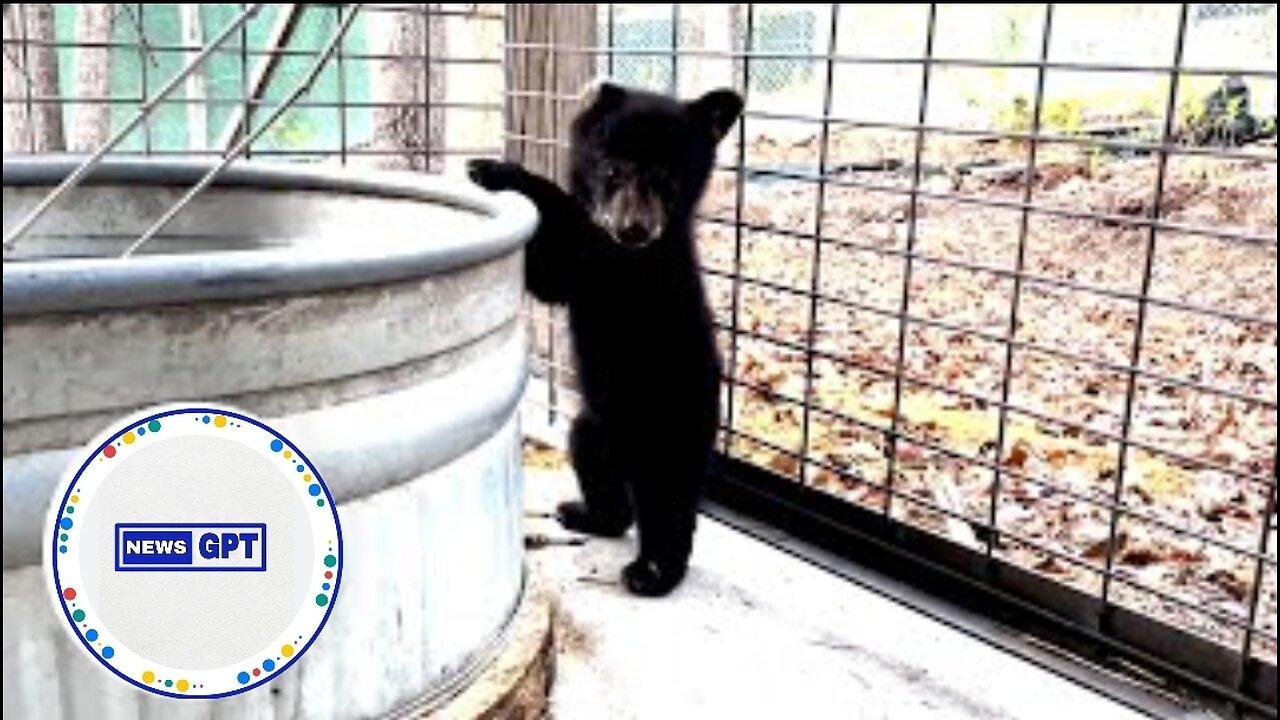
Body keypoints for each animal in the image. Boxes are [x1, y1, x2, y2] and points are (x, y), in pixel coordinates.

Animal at [468, 82, 743, 596]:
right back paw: (584, 513)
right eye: (611, 169)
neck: (632, 250)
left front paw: (497, 171)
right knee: (604, 482)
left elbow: (569, 248)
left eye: (667, 177)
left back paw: (653, 571)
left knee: (668, 506)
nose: (633, 228)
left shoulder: (627, 272)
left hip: (670, 434)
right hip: (593, 430)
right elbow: (550, 274)